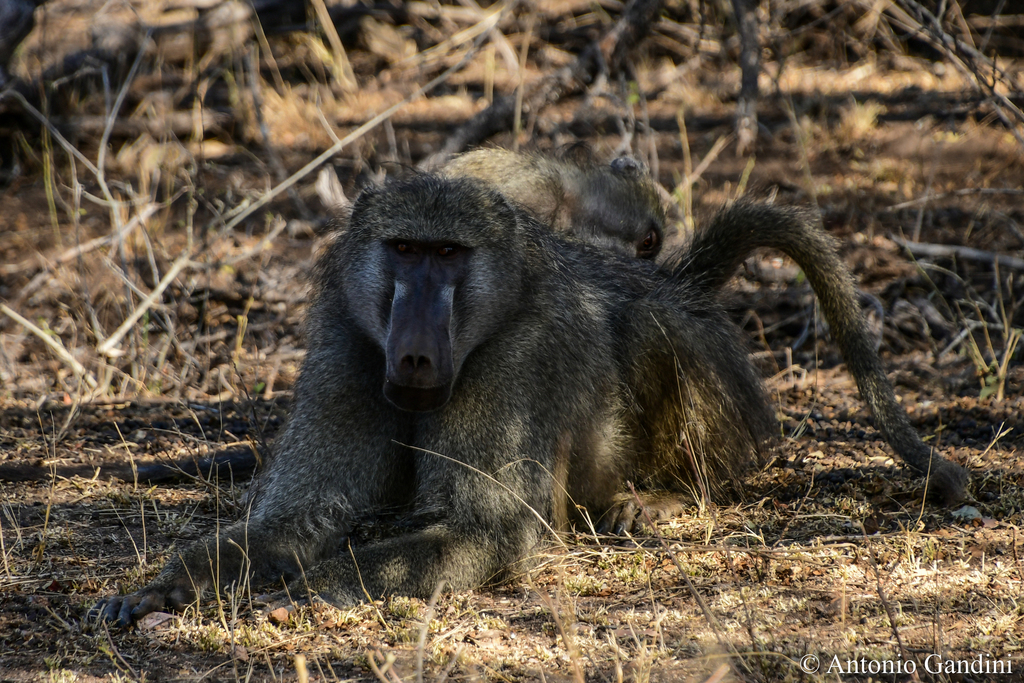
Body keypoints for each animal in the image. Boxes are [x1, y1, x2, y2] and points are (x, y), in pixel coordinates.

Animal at [92, 175, 967, 626]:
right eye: (404, 249)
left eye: (450, 254)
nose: (414, 353)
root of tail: (668, 281)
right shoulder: (349, 343)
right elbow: (301, 516)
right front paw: (173, 585)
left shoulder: (517, 361)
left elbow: (486, 528)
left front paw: (302, 595)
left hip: (698, 361)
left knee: (651, 335)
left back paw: (662, 499)